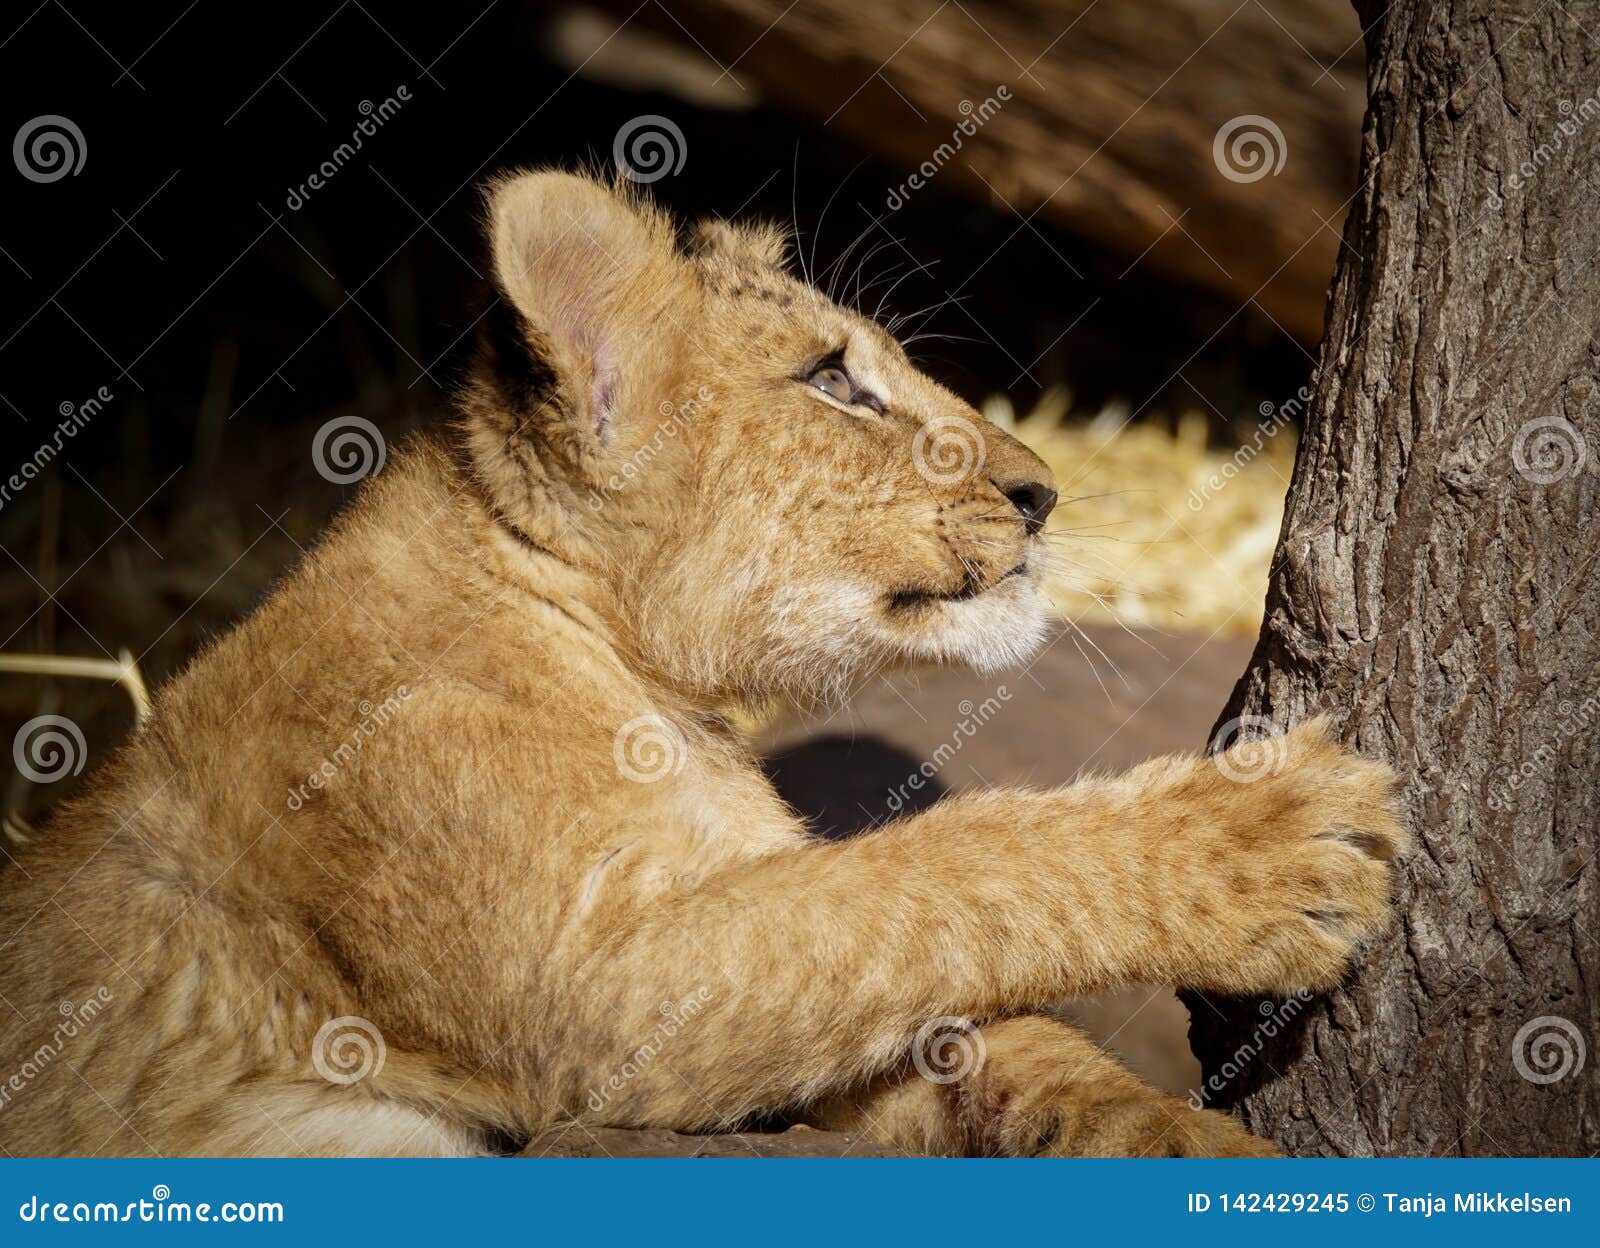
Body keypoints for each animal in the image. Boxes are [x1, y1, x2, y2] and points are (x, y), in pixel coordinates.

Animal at [0, 171, 1406, 1157]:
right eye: (835, 381)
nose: (1042, 493)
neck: (649, 692)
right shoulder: (598, 997)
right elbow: (929, 878)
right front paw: (1270, 843)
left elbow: (981, 1032)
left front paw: (1167, 1138)